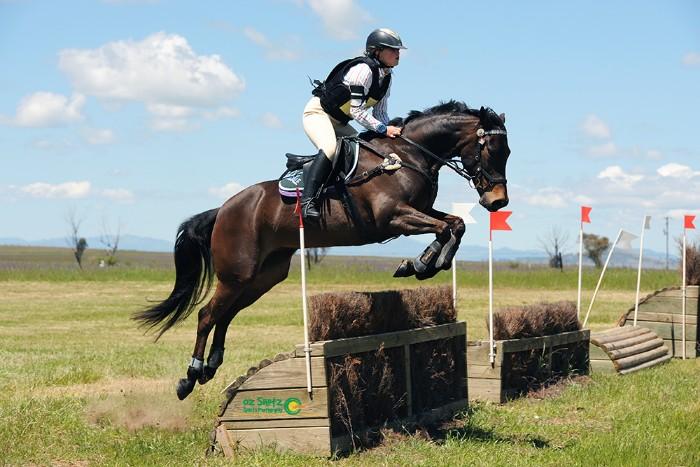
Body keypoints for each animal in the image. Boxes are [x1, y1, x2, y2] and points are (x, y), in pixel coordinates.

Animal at [133, 101, 511, 400]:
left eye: (506, 153)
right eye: (492, 151)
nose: (498, 202)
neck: (406, 156)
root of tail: (224, 209)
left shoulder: (418, 211)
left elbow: (455, 224)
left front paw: (422, 264)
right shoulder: (392, 217)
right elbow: (446, 227)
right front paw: (423, 263)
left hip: (264, 276)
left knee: (225, 315)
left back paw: (211, 366)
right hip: (237, 273)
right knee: (207, 315)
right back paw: (190, 376)